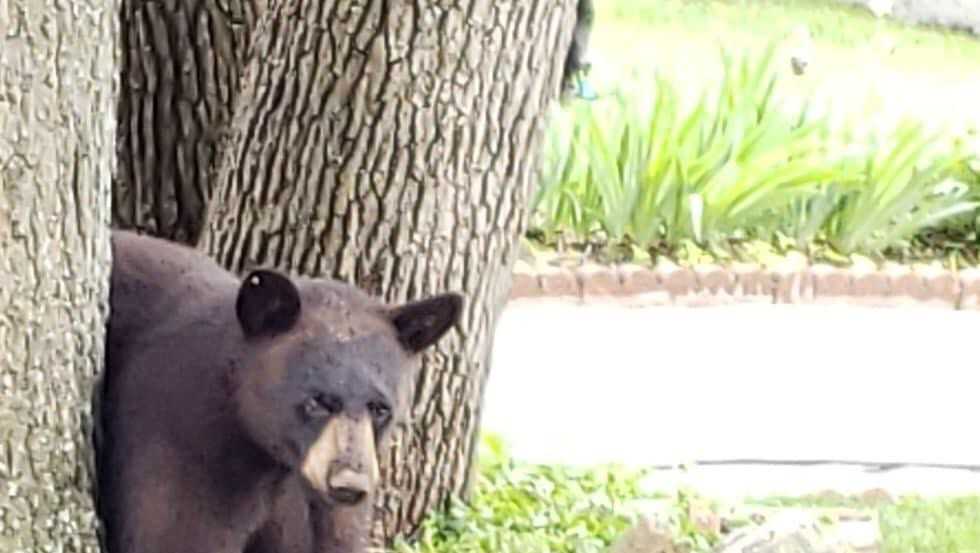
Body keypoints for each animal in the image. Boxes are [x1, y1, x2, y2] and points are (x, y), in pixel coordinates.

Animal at [95, 230, 462, 553]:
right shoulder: (186, 444)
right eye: (317, 401)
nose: (349, 483)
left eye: (380, 408)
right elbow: (176, 536)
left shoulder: (319, 508)